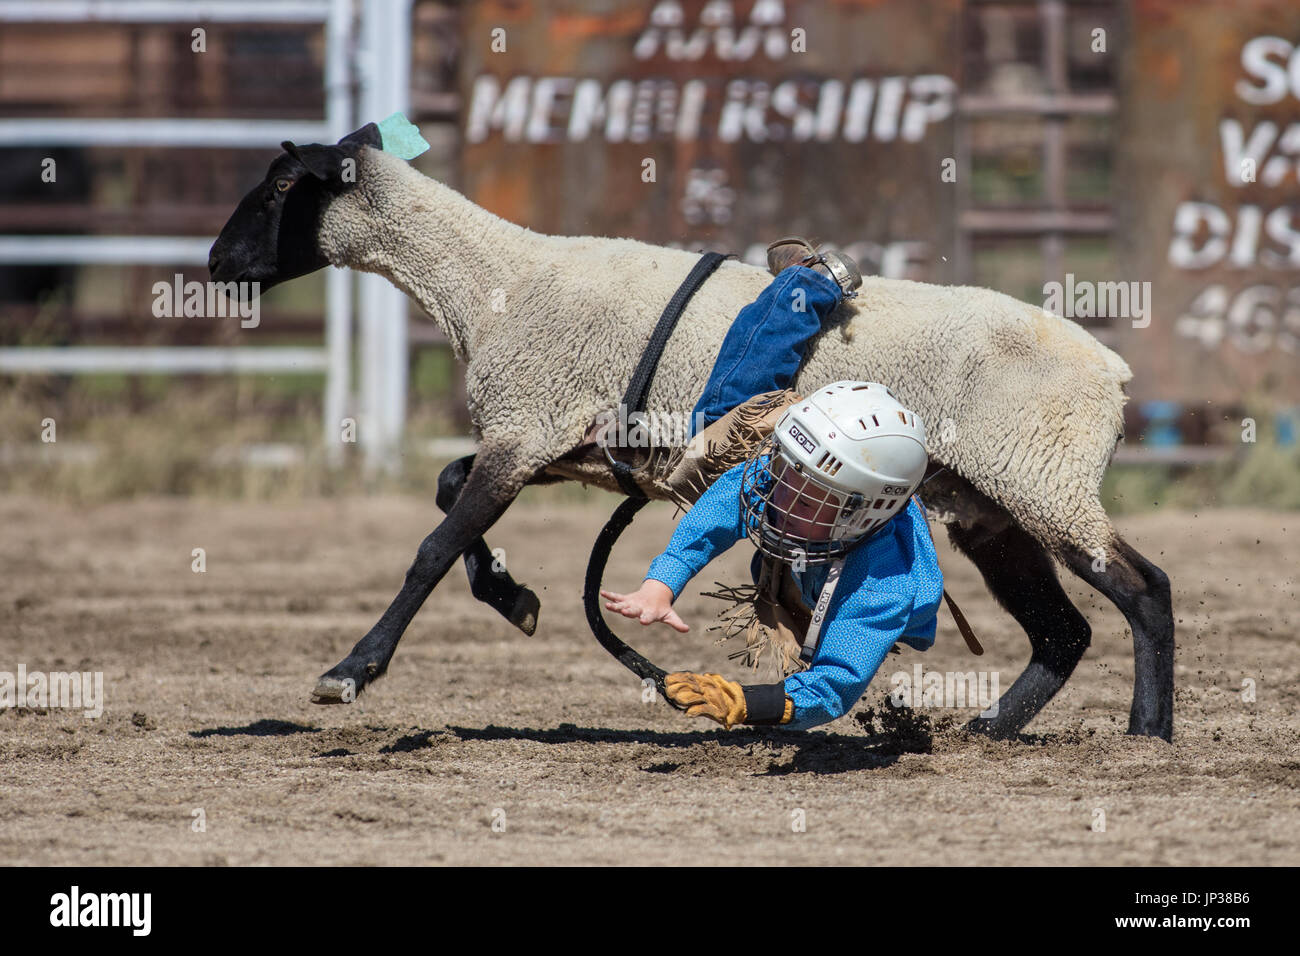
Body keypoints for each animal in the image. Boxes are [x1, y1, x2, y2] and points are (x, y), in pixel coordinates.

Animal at [209, 125, 1174, 742]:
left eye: (282, 187)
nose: (216, 263)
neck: (495, 283)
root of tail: (1112, 370)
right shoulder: (560, 444)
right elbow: (451, 498)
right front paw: (515, 598)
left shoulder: (527, 425)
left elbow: (433, 546)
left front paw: (350, 671)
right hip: (986, 502)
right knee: (1064, 631)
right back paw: (994, 726)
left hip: (1042, 476)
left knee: (1143, 588)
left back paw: (1148, 730)